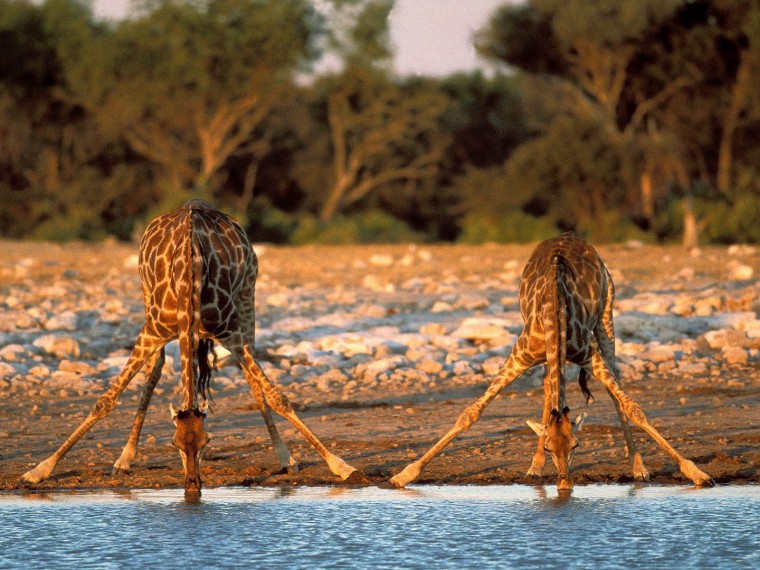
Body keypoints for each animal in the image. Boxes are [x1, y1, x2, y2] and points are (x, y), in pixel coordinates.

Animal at [20, 200, 361, 492]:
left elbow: (279, 397)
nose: (193, 485)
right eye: (174, 443)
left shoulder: (231, 332)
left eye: (207, 442)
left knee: (251, 376)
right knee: (155, 370)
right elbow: (104, 401)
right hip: (147, 301)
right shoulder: (152, 331)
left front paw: (341, 465)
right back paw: (124, 459)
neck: (189, 274)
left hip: (247, 294)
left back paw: (284, 457)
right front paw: (39, 470)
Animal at [390, 232, 713, 489]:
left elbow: (633, 407)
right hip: (551, 351)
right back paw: (534, 467)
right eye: (549, 447)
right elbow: (470, 413)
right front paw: (404, 475)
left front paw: (697, 474)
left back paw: (638, 467)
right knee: (548, 386)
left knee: (614, 386)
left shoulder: (588, 354)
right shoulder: (520, 355)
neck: (555, 311)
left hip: (606, 315)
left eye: (577, 444)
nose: (564, 484)